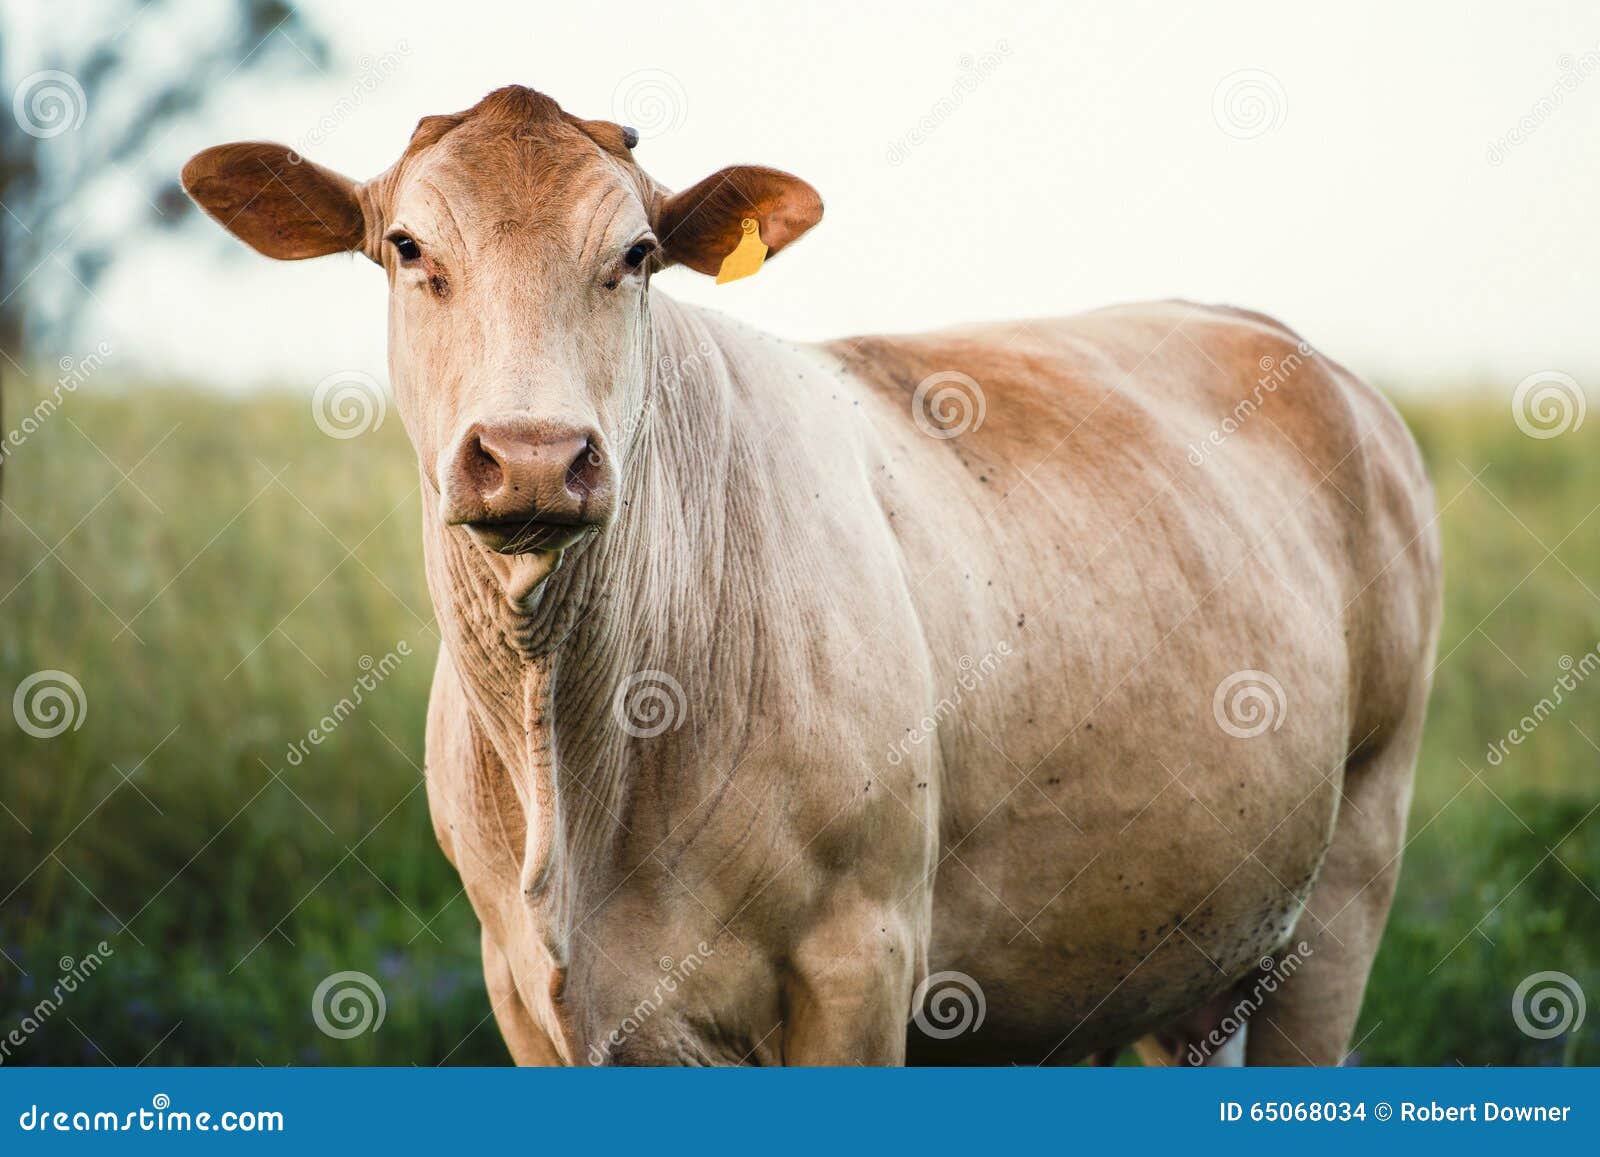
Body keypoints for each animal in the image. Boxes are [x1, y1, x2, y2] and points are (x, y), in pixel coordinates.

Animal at [183, 85, 1441, 1066]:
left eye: (635, 255)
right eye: (407, 246)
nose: (533, 453)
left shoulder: (862, 955)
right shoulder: (523, 988)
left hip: (1348, 880)